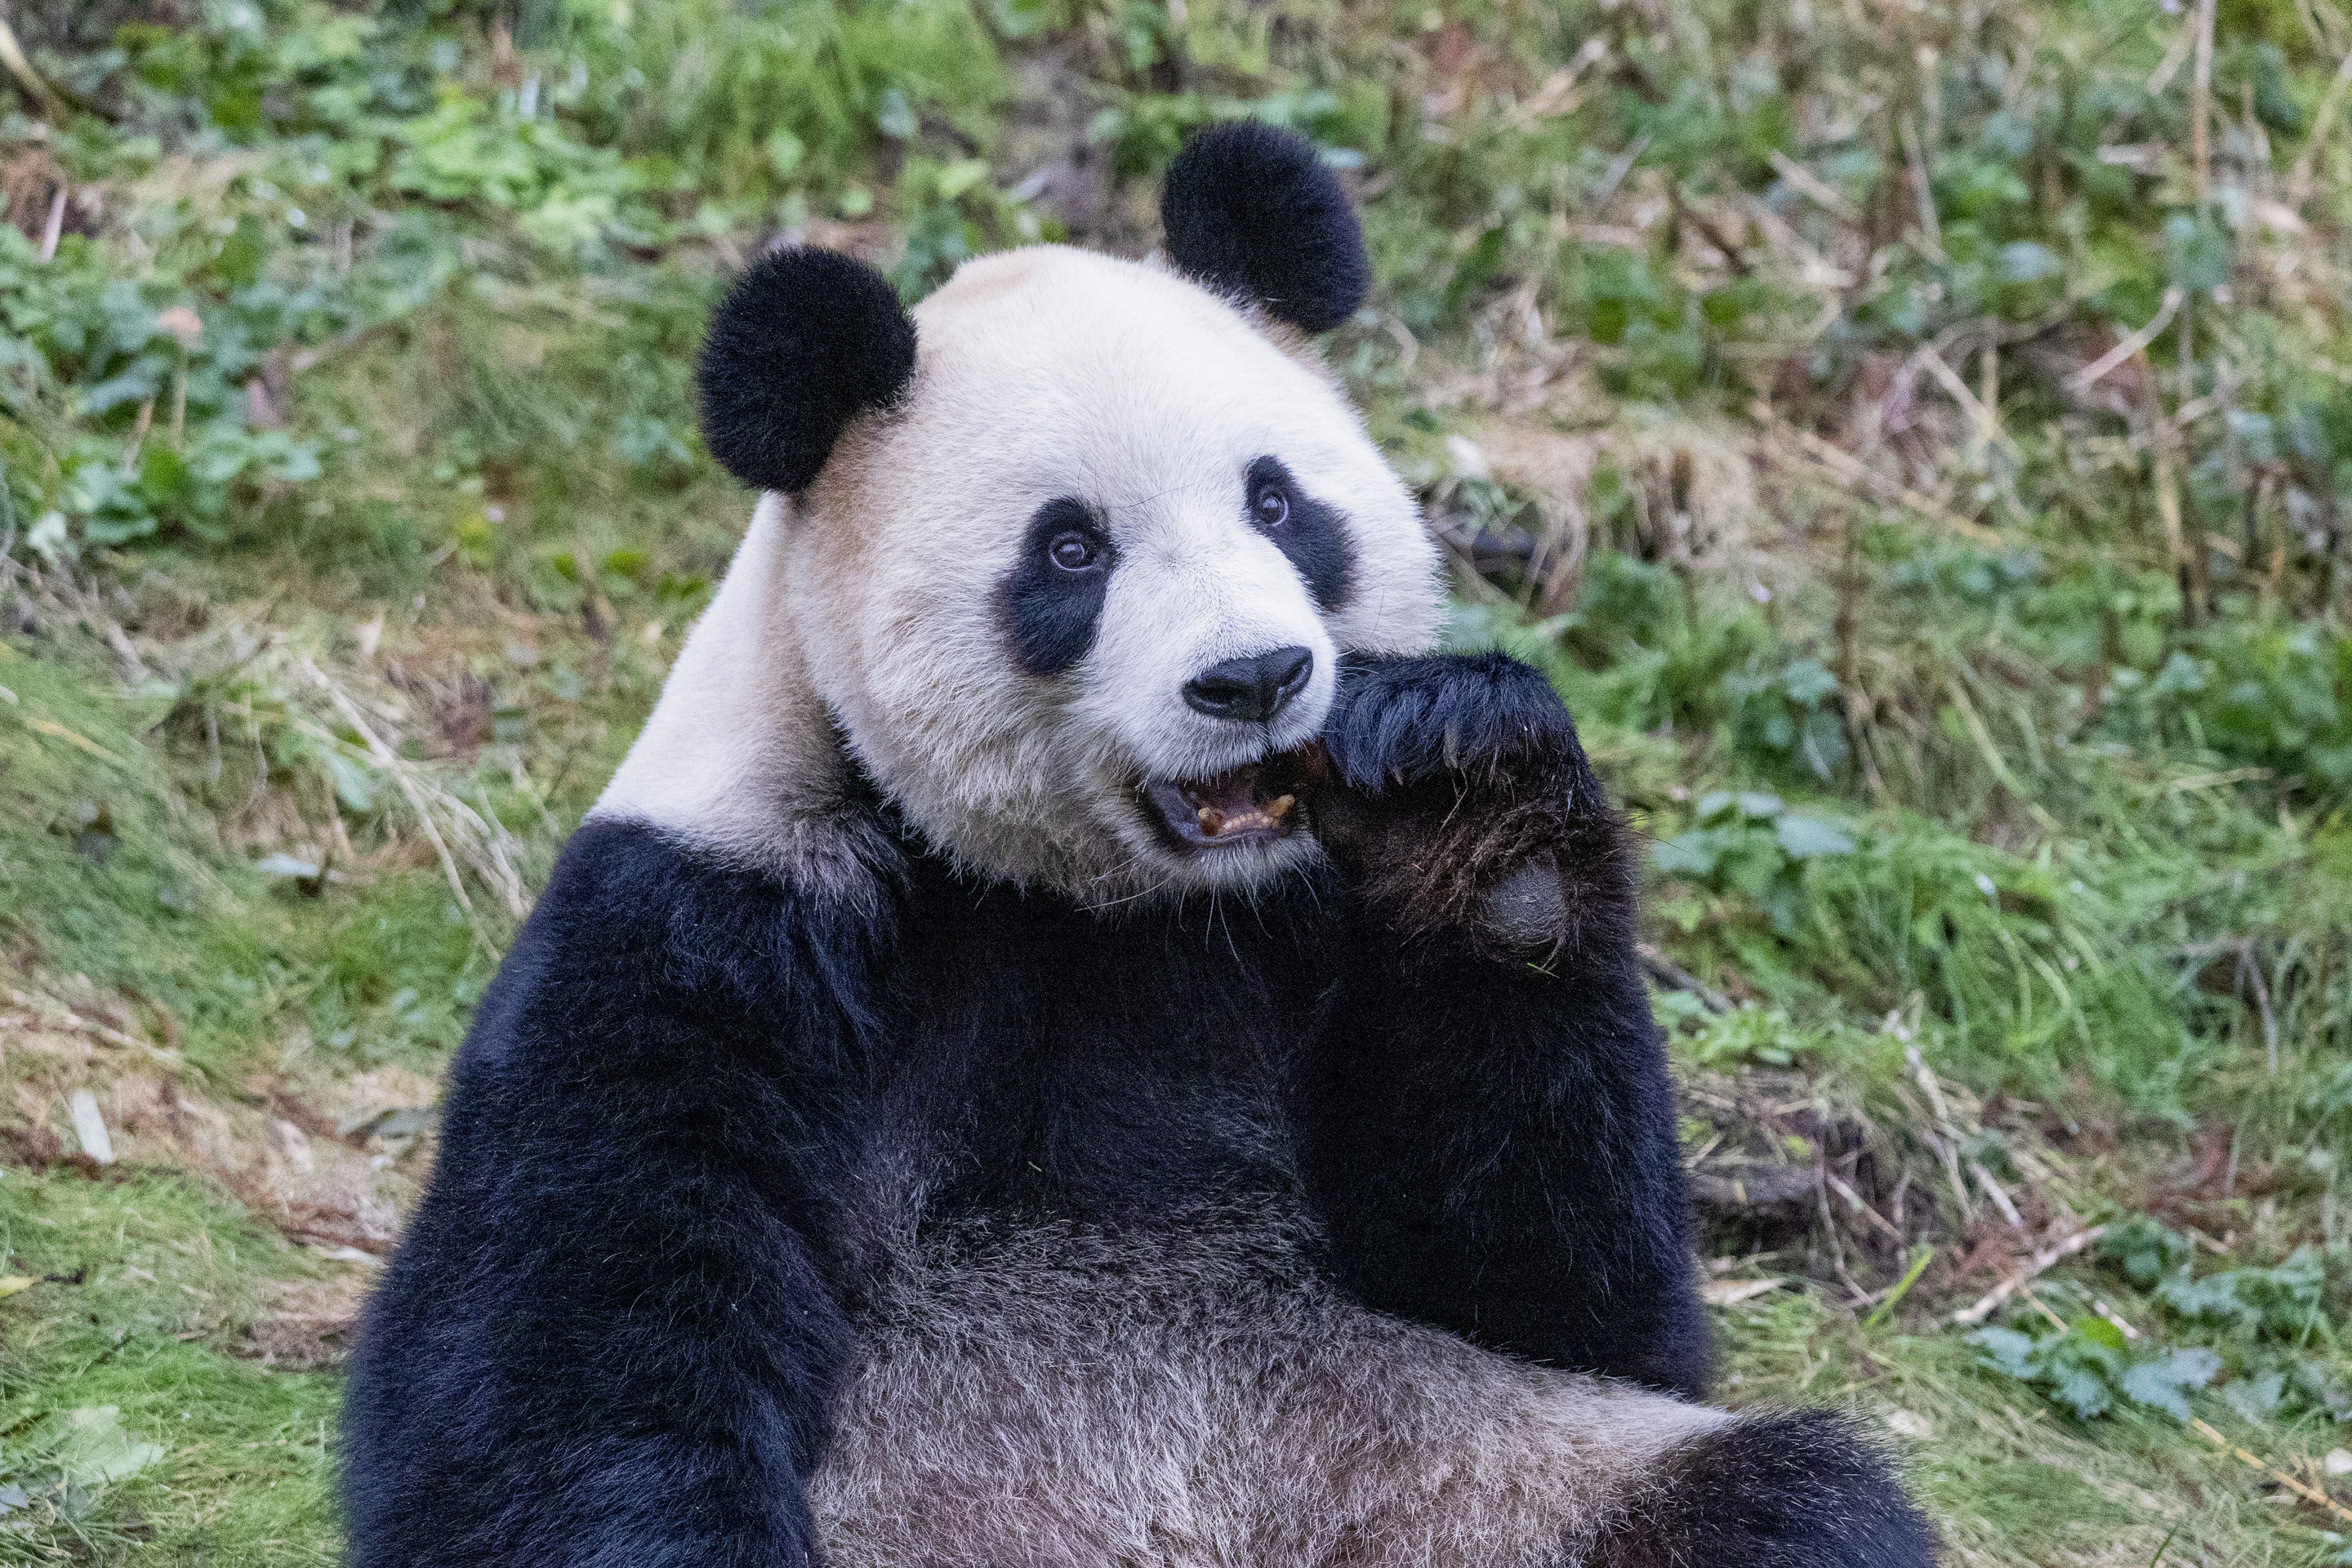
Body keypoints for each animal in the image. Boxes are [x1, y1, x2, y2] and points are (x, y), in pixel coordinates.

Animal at [340, 123, 1937, 1568]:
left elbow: (1573, 1305)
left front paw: (1473, 820)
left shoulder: (1303, 920)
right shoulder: (715, 920)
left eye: (1278, 501)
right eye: (1070, 550)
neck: (1103, 904)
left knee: (1776, 1503)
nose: (1255, 680)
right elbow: (571, 1352)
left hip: (1466, 1486)